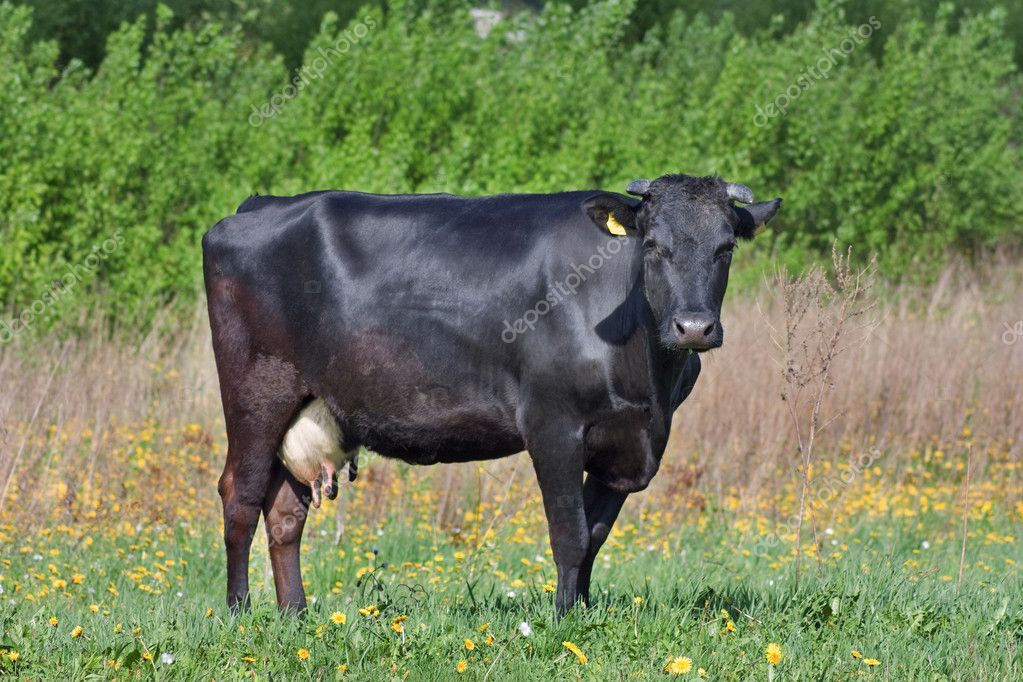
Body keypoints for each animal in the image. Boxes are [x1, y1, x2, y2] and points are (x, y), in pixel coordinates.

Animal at [202, 173, 781, 615]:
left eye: (726, 247)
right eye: (653, 246)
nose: (693, 327)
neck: (647, 381)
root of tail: (258, 205)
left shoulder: (628, 441)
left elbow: (594, 534)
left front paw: (584, 611)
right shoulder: (552, 424)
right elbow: (569, 532)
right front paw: (564, 620)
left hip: (305, 408)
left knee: (284, 515)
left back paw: (295, 615)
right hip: (255, 392)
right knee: (241, 497)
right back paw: (240, 613)